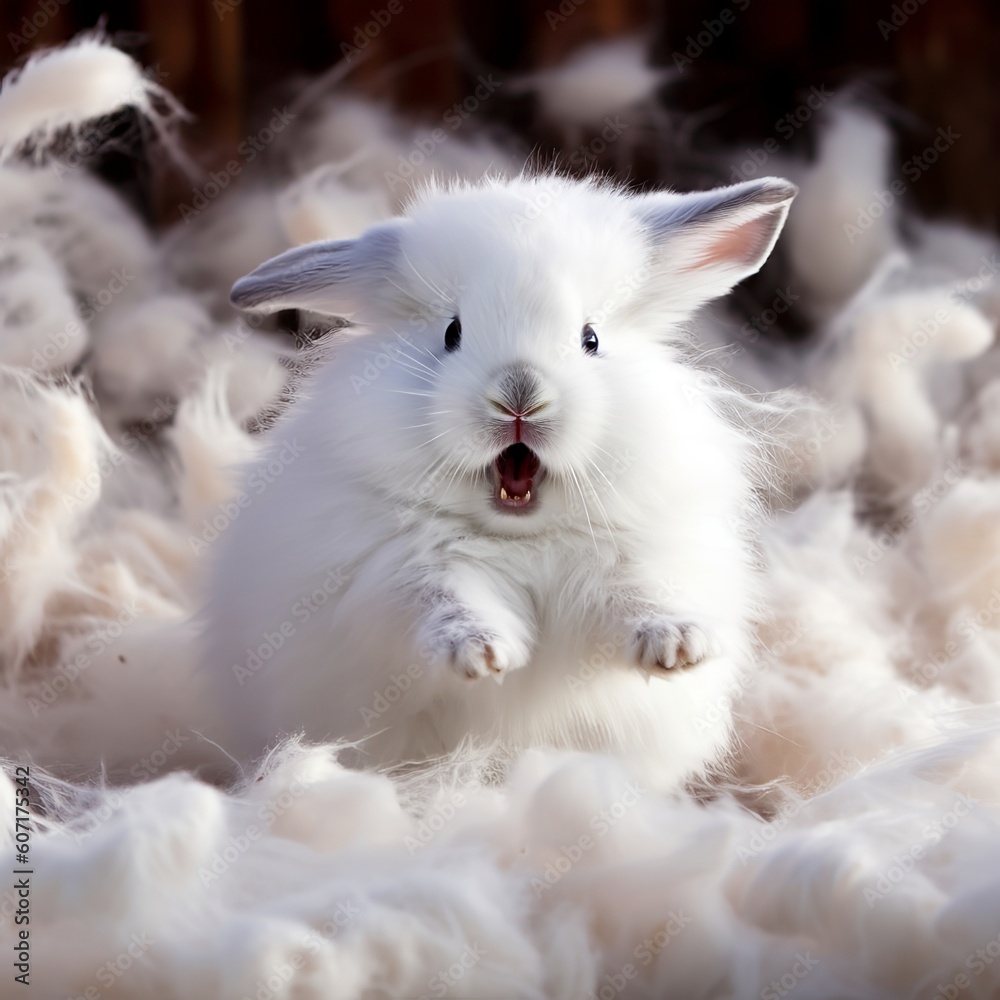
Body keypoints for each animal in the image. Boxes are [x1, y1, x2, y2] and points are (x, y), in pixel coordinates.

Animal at [201, 173, 797, 789]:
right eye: (452, 332)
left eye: (590, 339)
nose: (520, 394)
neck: (519, 534)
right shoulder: (399, 576)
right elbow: (449, 606)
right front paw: (484, 656)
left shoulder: (631, 562)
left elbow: (641, 598)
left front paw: (680, 647)